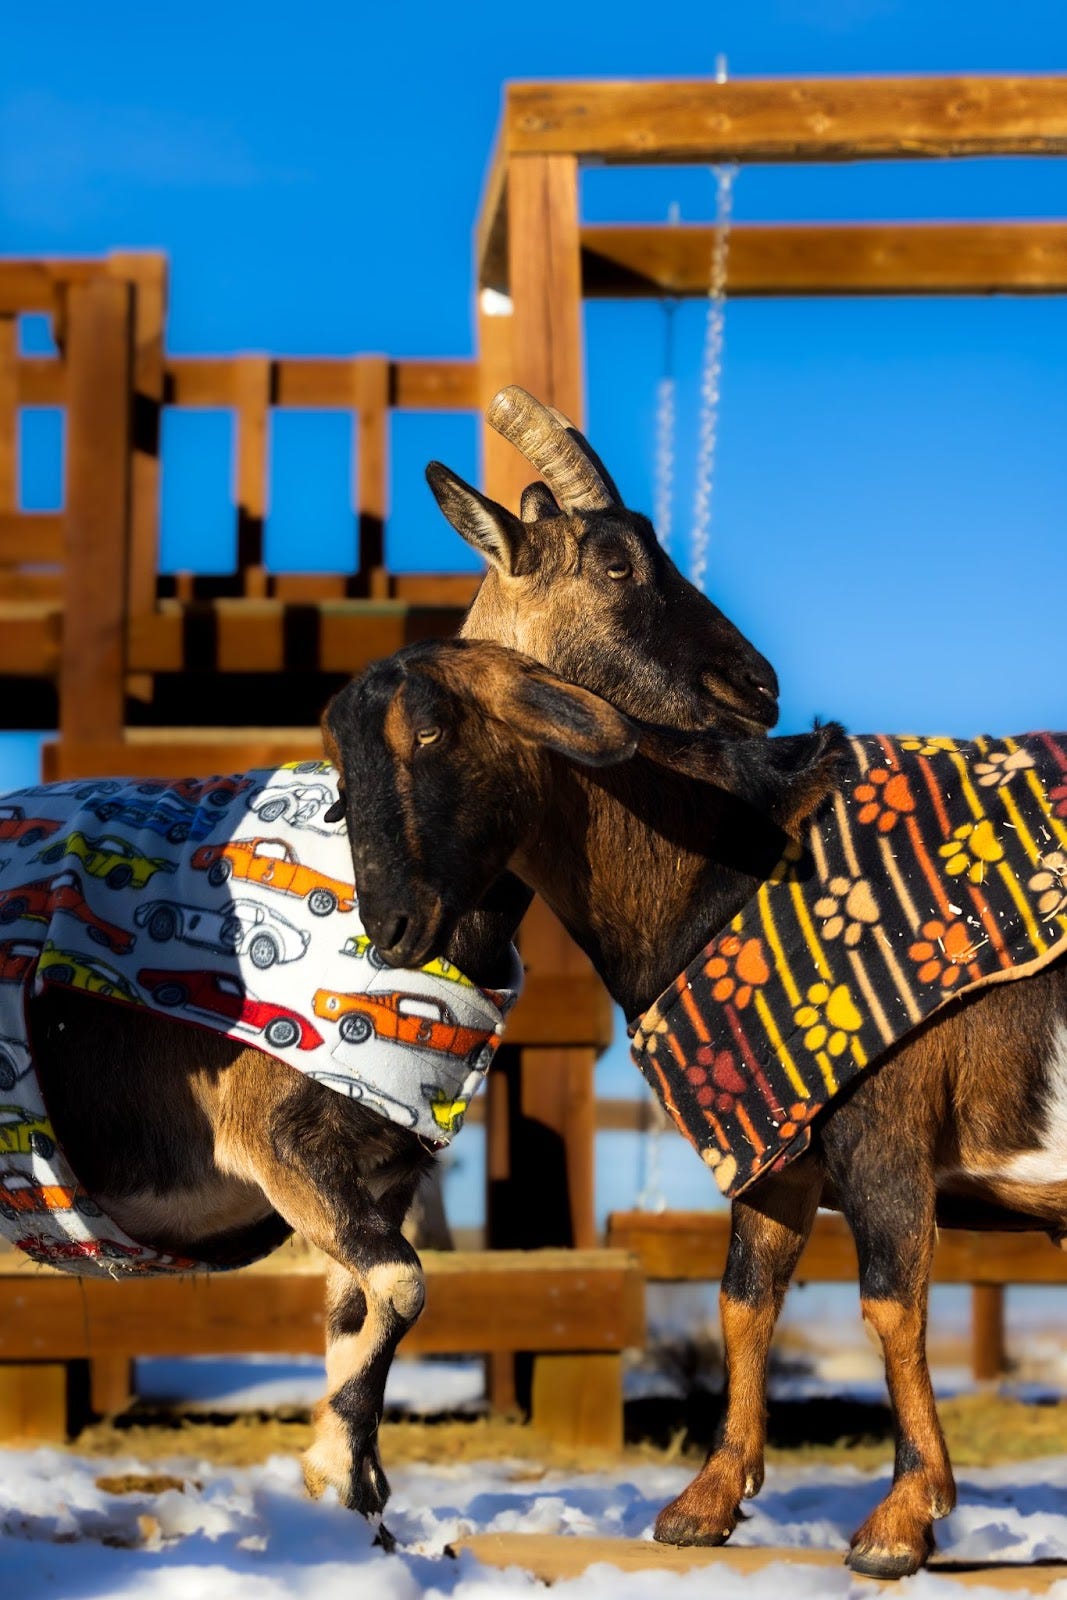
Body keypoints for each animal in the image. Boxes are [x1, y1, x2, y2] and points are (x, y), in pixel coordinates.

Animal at [0, 389, 777, 1539]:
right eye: (614, 562)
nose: (757, 687)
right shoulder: (273, 1138)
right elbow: (405, 1288)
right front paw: (336, 1466)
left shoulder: (382, 1171)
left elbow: (357, 1308)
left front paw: (347, 1482)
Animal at [330, 635, 1067, 1580]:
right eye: (342, 766)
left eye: (430, 731)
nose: (390, 926)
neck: (730, 871)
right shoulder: (776, 1138)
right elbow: (742, 1301)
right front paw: (706, 1502)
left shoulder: (883, 1130)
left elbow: (889, 1304)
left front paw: (901, 1520)